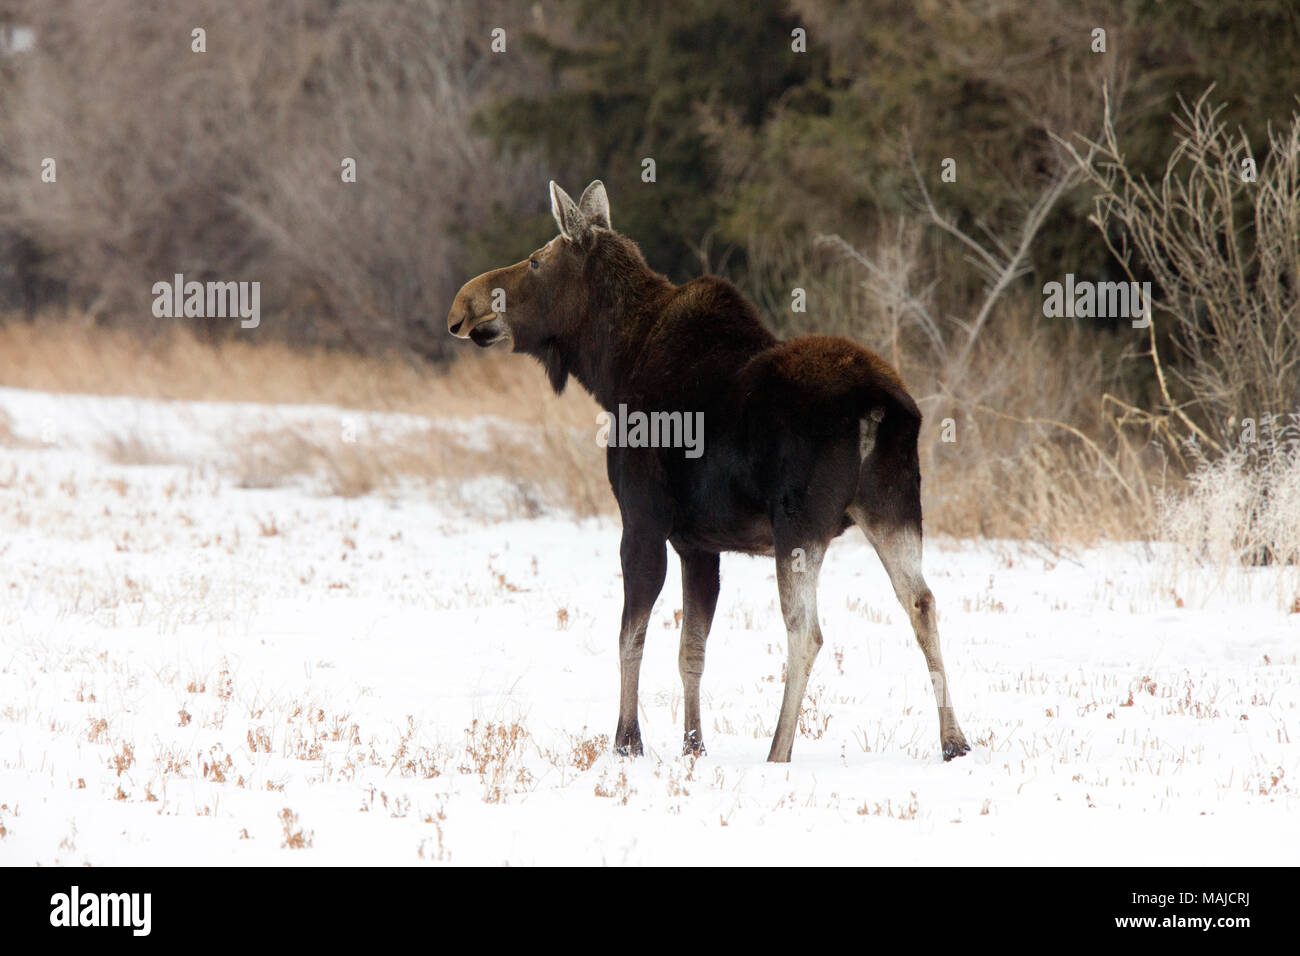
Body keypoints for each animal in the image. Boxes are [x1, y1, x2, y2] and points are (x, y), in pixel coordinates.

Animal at [447, 180, 970, 765]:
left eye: (537, 261)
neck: (610, 366)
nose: (464, 306)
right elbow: (691, 648)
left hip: (800, 522)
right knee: (922, 603)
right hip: (895, 508)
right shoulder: (699, 543)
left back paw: (778, 751)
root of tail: (879, 408)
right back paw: (954, 741)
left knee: (806, 631)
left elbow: (631, 636)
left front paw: (627, 741)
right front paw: (692, 745)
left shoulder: (643, 521)